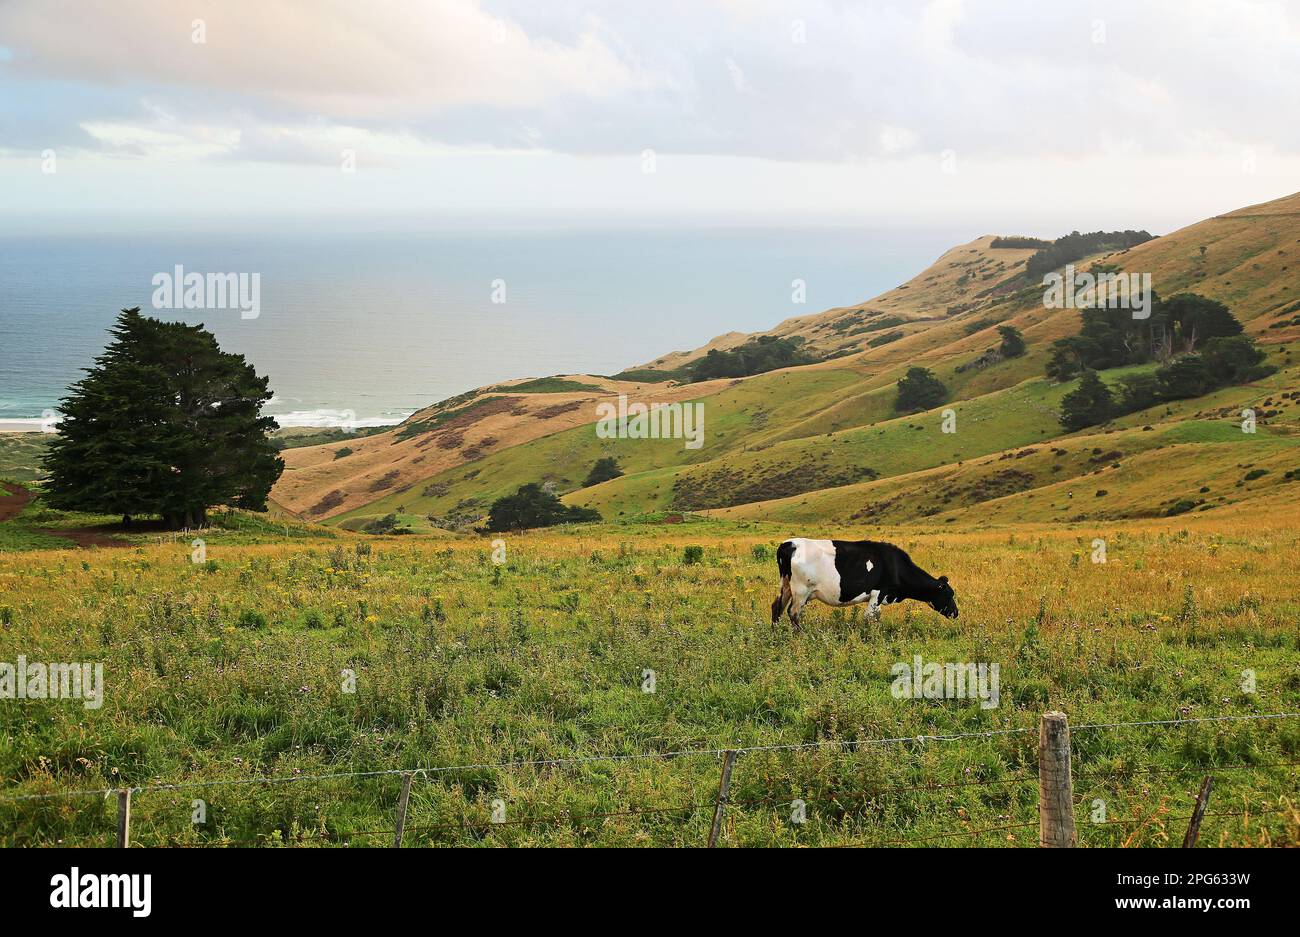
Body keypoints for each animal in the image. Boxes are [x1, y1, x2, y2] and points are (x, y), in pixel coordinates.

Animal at [770, 537, 958, 629]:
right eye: (949, 594)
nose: (956, 613)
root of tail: (788, 544)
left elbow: (876, 617)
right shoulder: (878, 593)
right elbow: (869, 618)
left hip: (785, 585)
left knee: (776, 606)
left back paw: (776, 634)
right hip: (801, 590)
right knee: (793, 612)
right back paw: (801, 635)